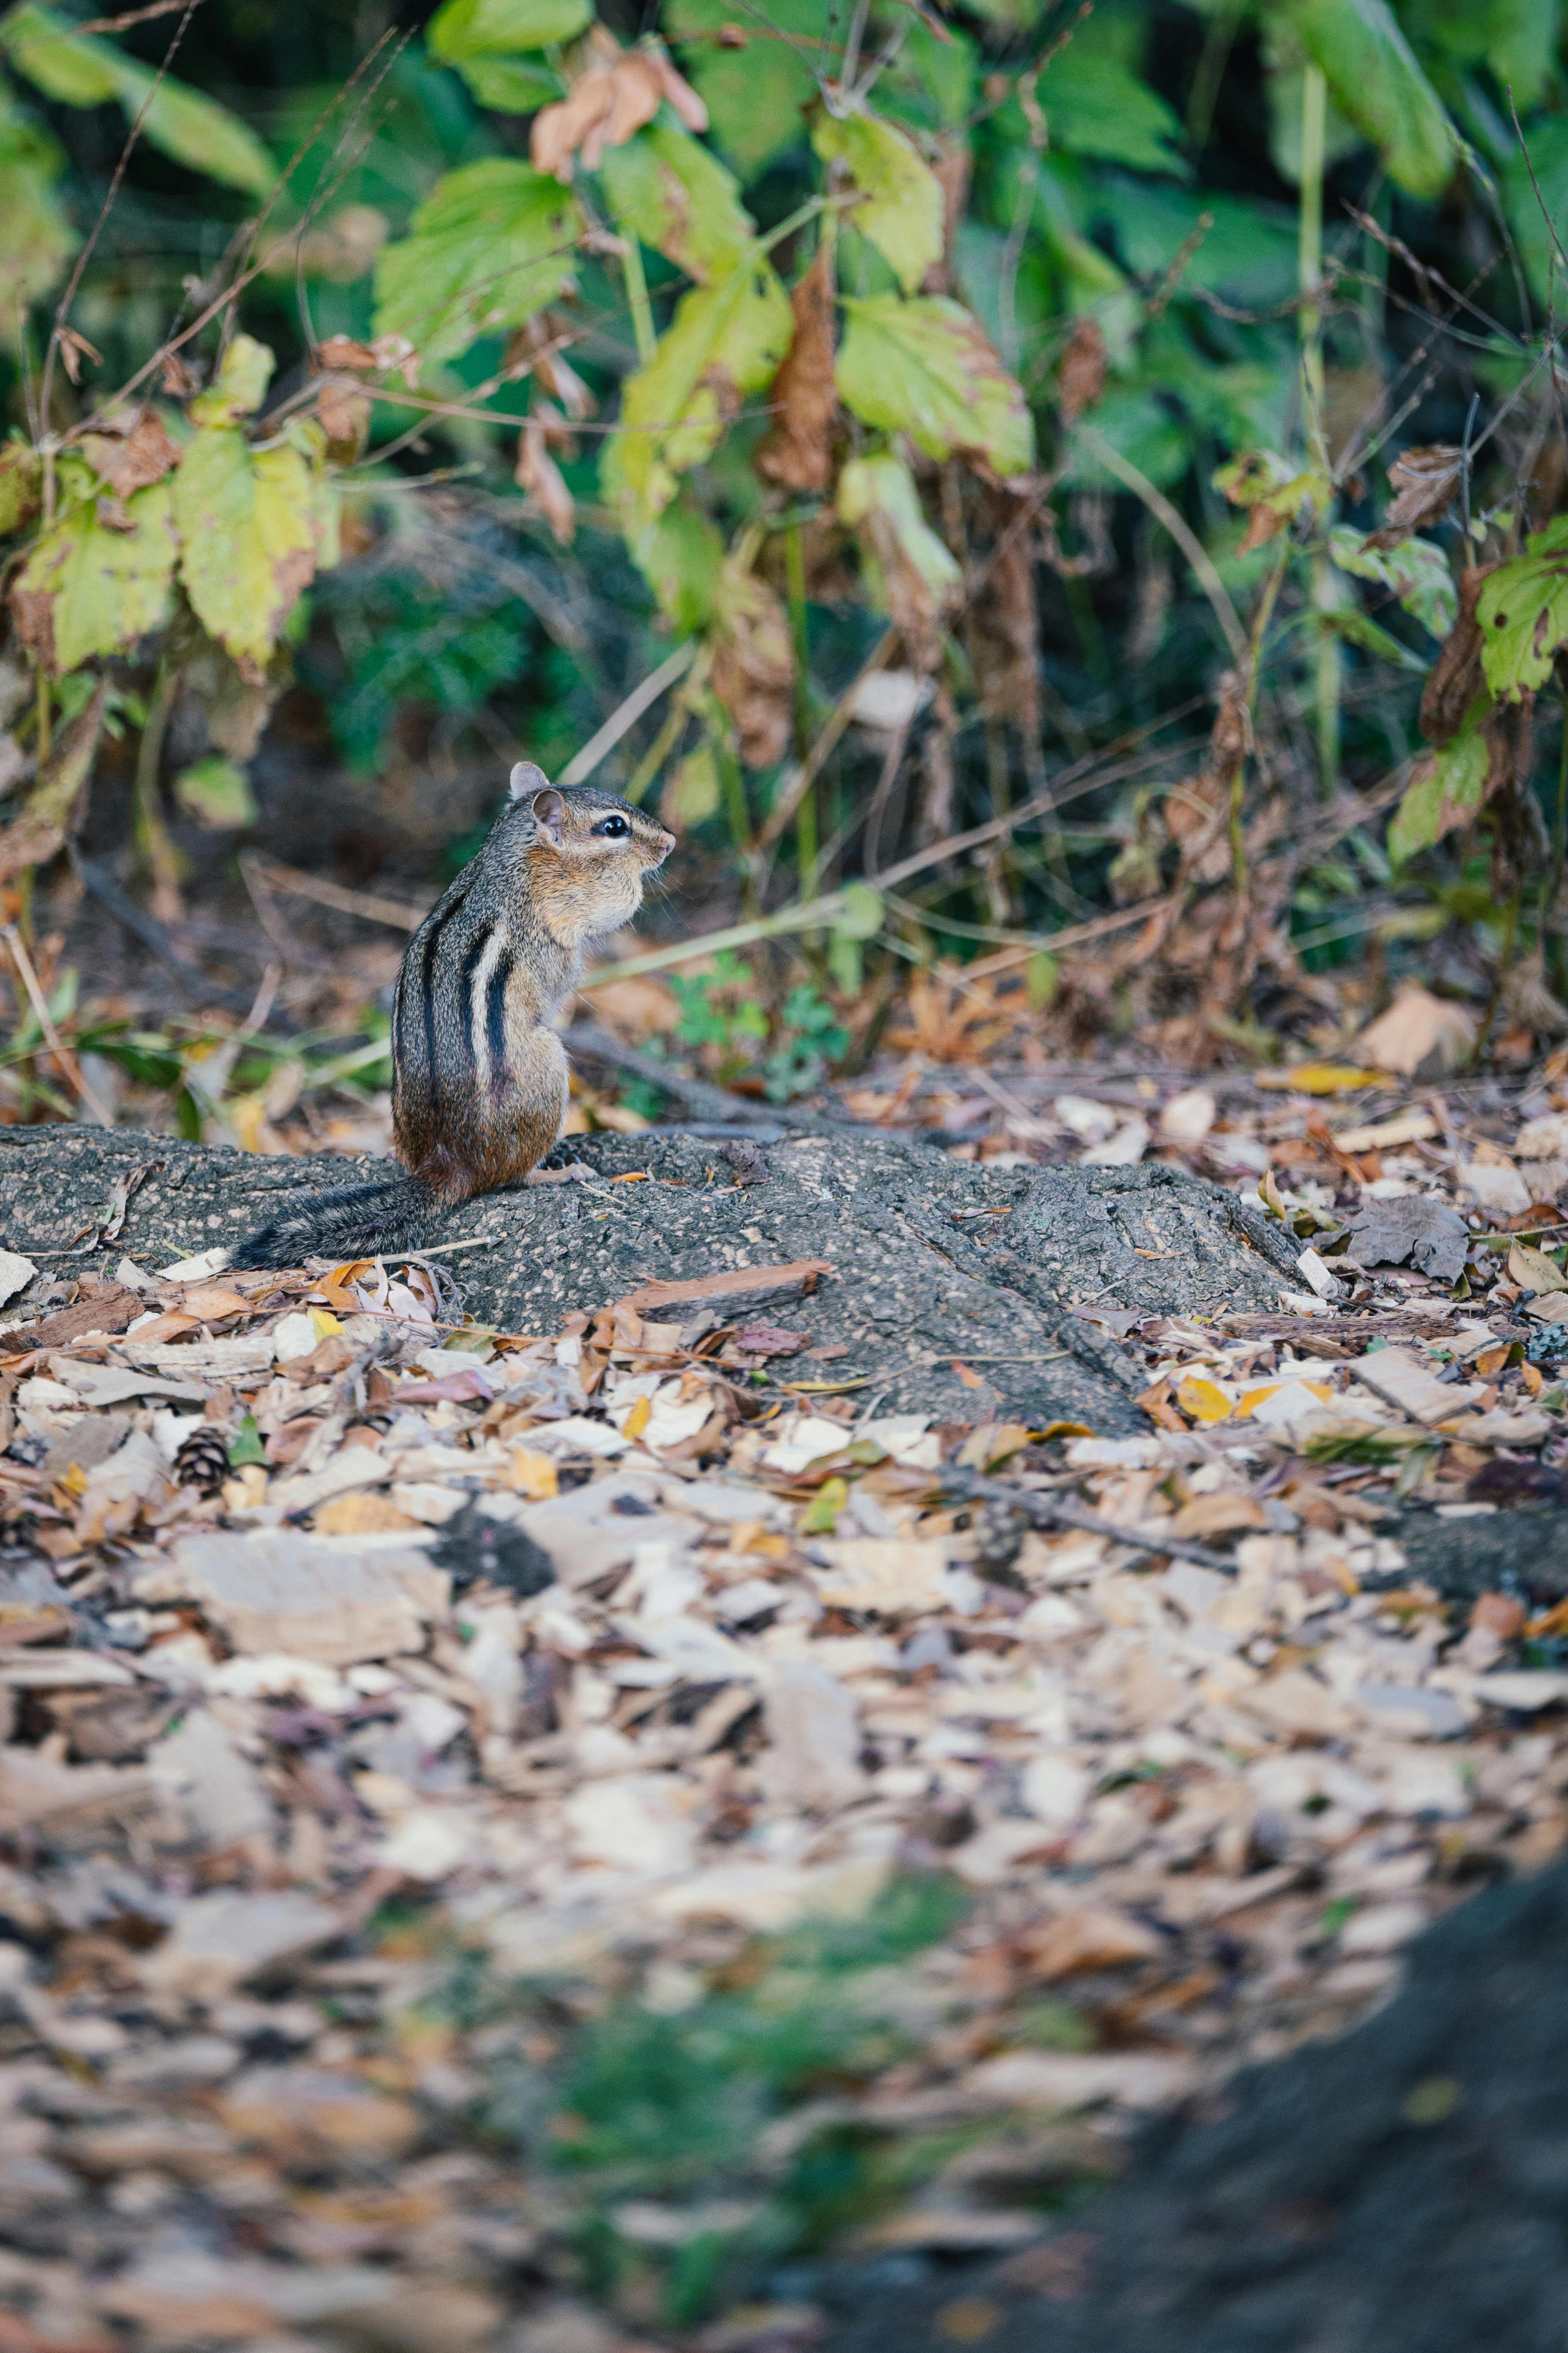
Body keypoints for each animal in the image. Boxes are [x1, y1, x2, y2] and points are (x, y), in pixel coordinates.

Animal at [230, 766, 675, 1270]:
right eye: (614, 827)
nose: (671, 843)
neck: (513, 860)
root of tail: (451, 1163)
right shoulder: (562, 921)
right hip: (547, 1070)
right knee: (510, 1178)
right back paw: (557, 1174)